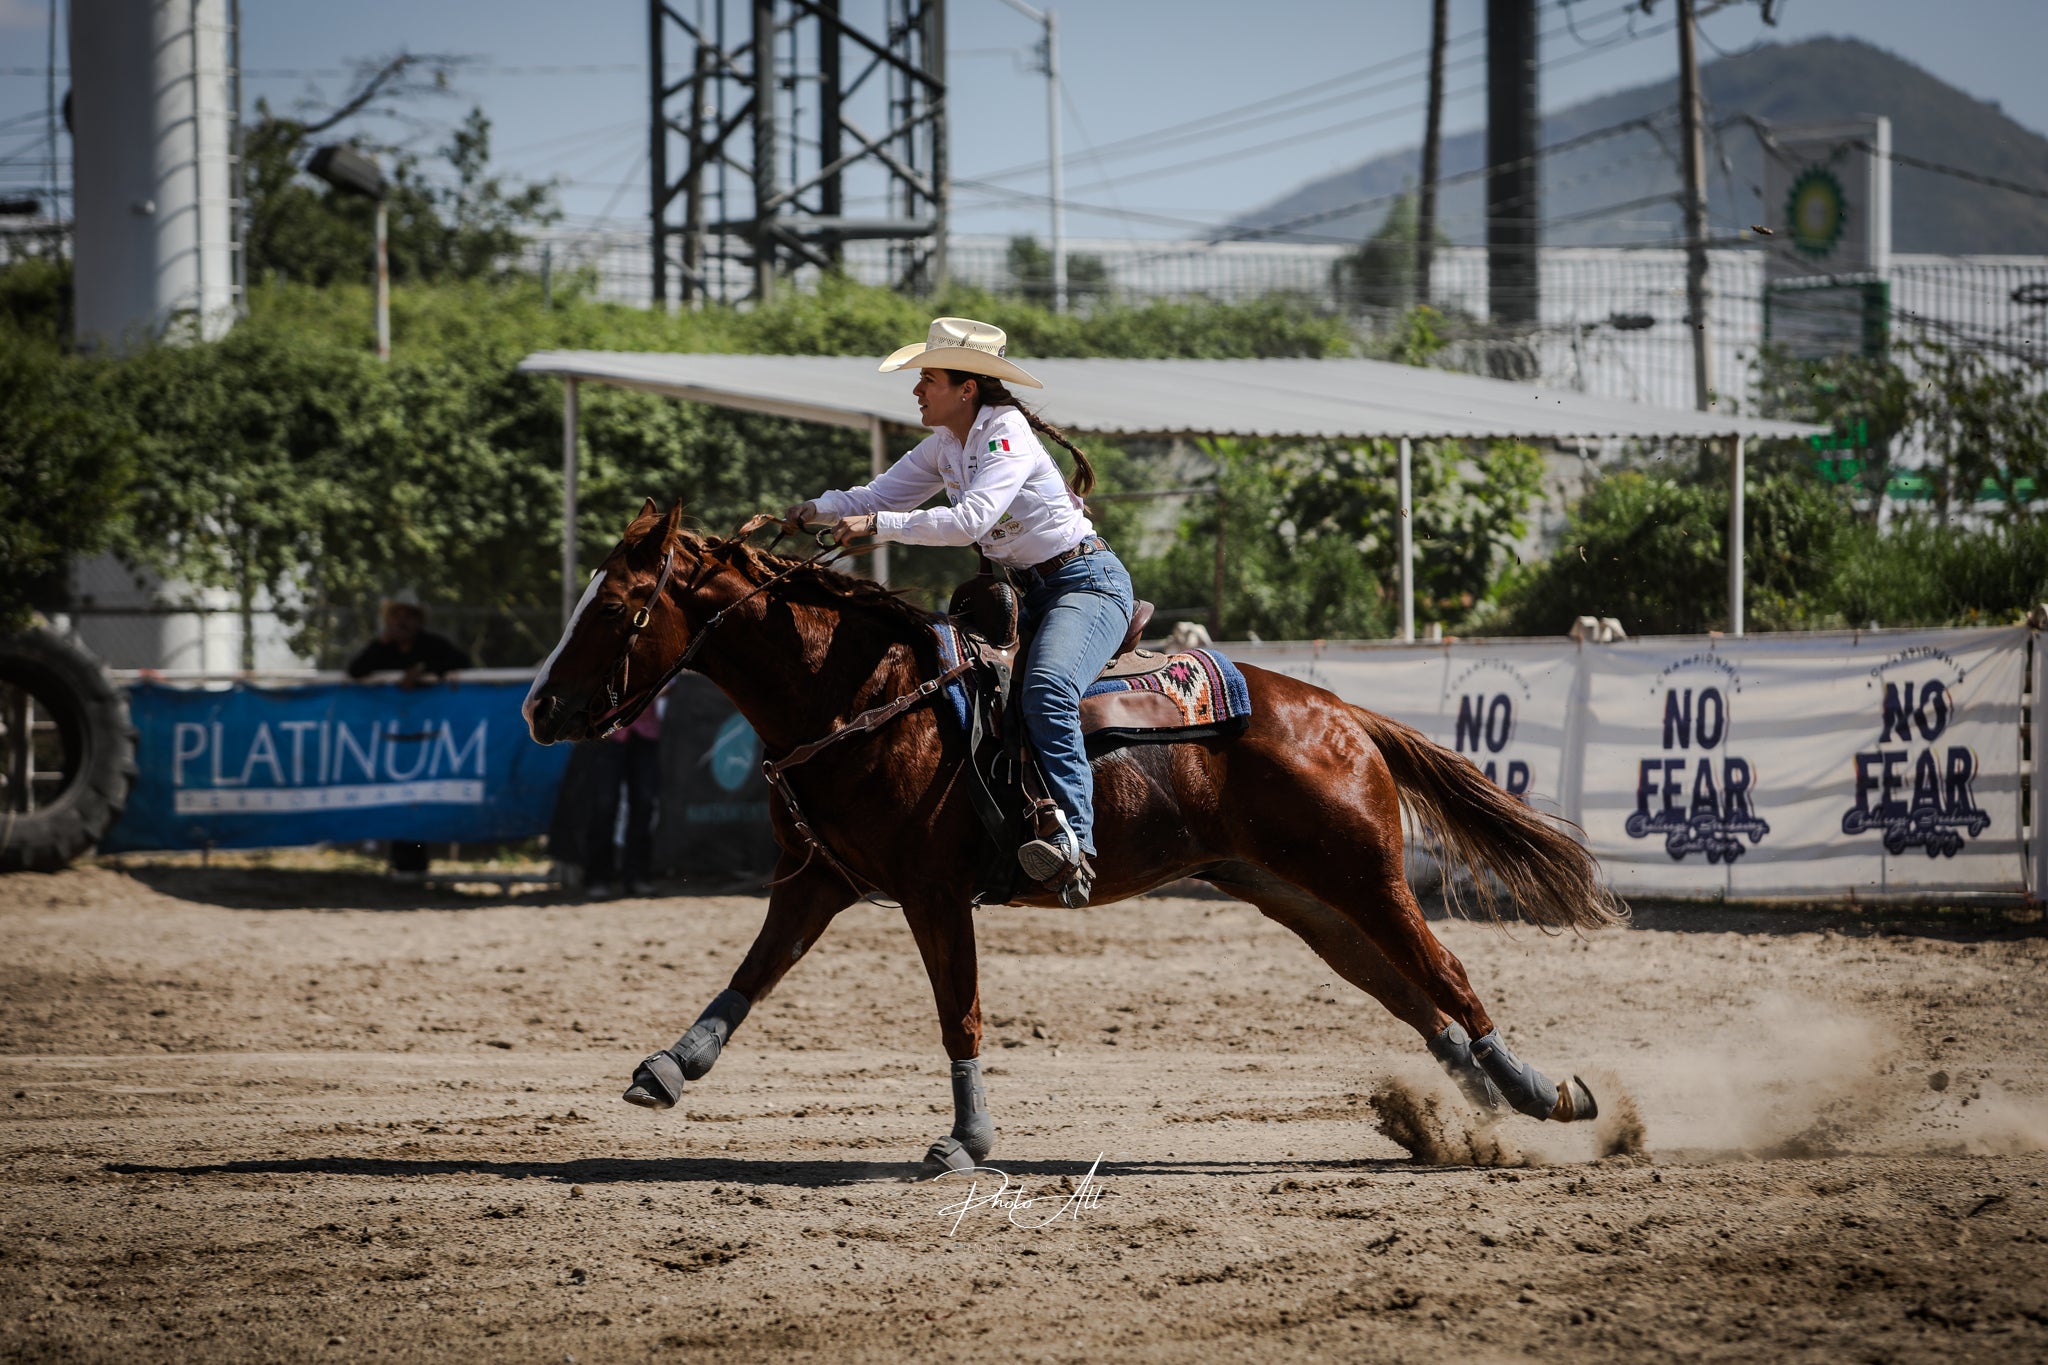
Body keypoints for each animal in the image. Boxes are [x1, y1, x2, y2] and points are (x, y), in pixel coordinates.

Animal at [525, 500, 1623, 1171]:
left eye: (617, 606)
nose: (539, 709)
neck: (863, 694)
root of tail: (1338, 710)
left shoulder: (932, 894)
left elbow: (958, 1013)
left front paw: (965, 1140)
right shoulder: (816, 880)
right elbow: (751, 974)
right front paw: (668, 1068)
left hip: (1364, 876)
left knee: (1446, 971)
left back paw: (1541, 1094)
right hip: (1296, 894)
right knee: (1401, 988)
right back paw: (1469, 1099)